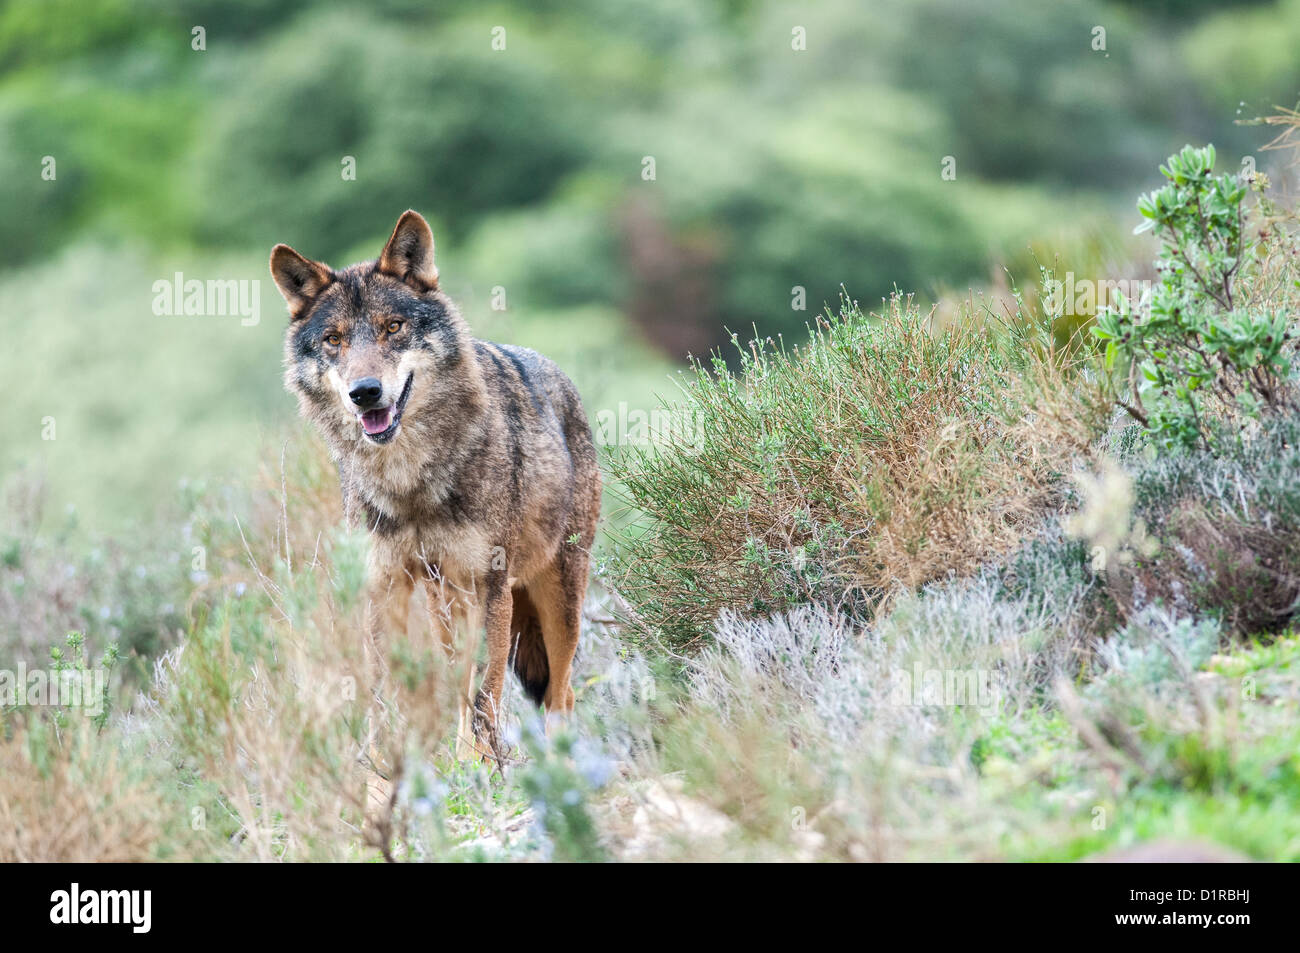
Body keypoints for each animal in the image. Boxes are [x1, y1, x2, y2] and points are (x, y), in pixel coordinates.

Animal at [269, 210, 601, 756]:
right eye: (334, 340)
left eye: (393, 327)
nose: (365, 393)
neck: (410, 483)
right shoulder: (384, 588)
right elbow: (385, 696)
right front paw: (385, 770)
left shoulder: (493, 587)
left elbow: (487, 699)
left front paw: (483, 769)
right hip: (447, 604)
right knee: (463, 680)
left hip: (556, 599)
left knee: (561, 695)